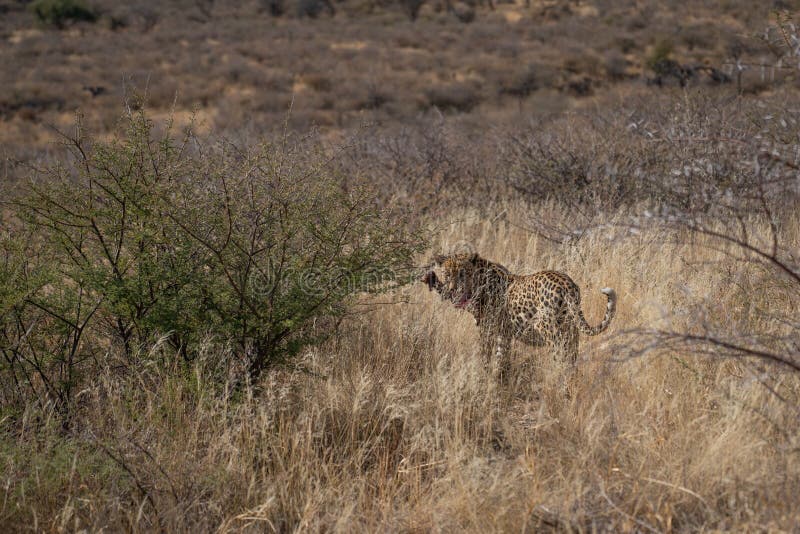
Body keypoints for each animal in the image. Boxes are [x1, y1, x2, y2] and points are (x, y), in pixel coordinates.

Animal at [421, 252, 616, 368]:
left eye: (462, 274)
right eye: (447, 274)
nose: (453, 289)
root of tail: (567, 284)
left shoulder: (487, 329)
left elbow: (485, 355)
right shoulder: (503, 333)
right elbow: (501, 358)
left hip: (549, 329)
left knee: (560, 357)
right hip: (571, 329)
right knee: (571, 358)